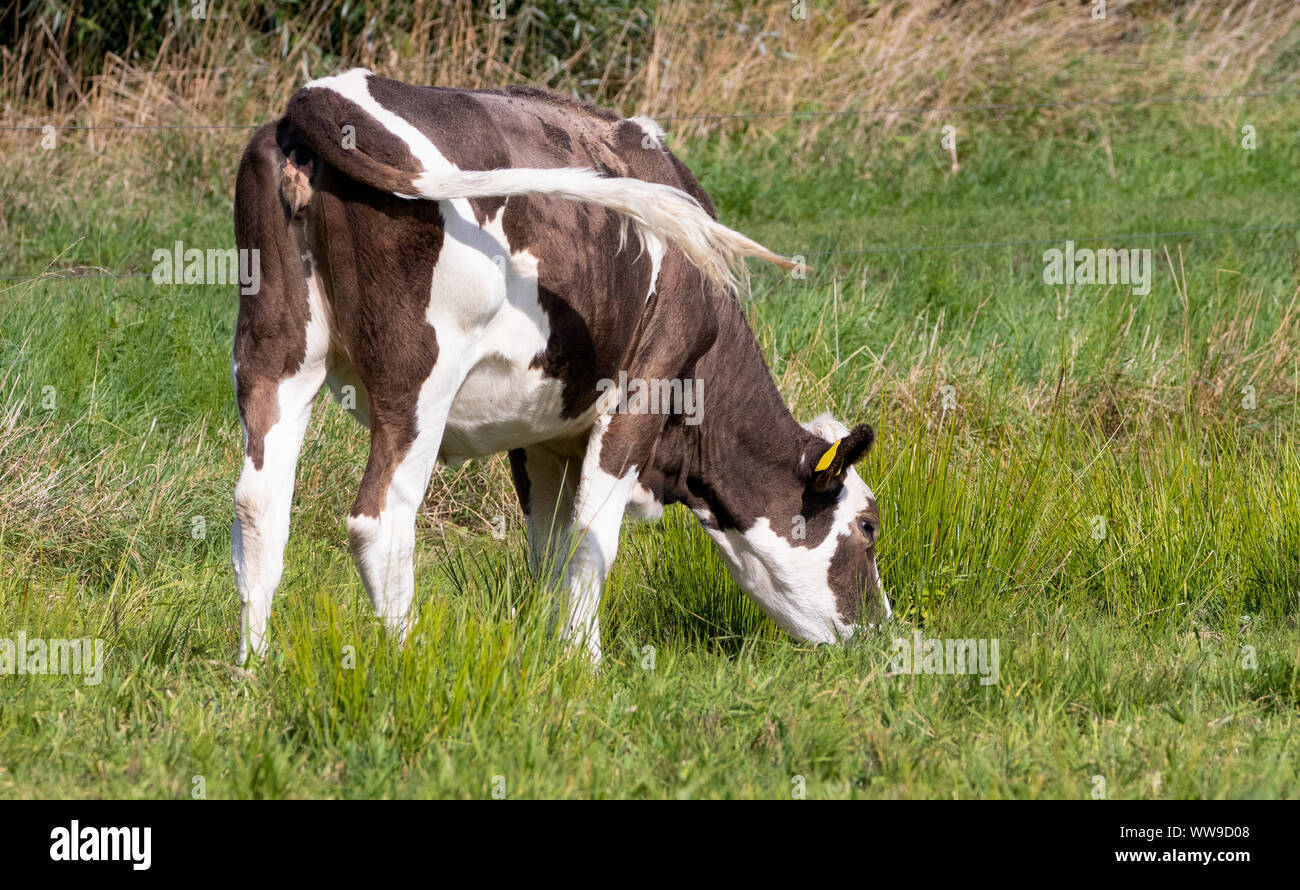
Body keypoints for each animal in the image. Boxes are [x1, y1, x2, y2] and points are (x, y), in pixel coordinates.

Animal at [231, 68, 888, 665]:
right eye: (868, 528)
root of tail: (324, 95)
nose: (879, 631)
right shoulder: (643, 389)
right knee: (380, 521)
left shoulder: (544, 430)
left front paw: (551, 655)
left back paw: (253, 665)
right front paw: (584, 660)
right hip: (417, 380)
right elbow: (593, 536)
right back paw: (405, 656)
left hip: (273, 352)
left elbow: (549, 545)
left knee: (259, 504)